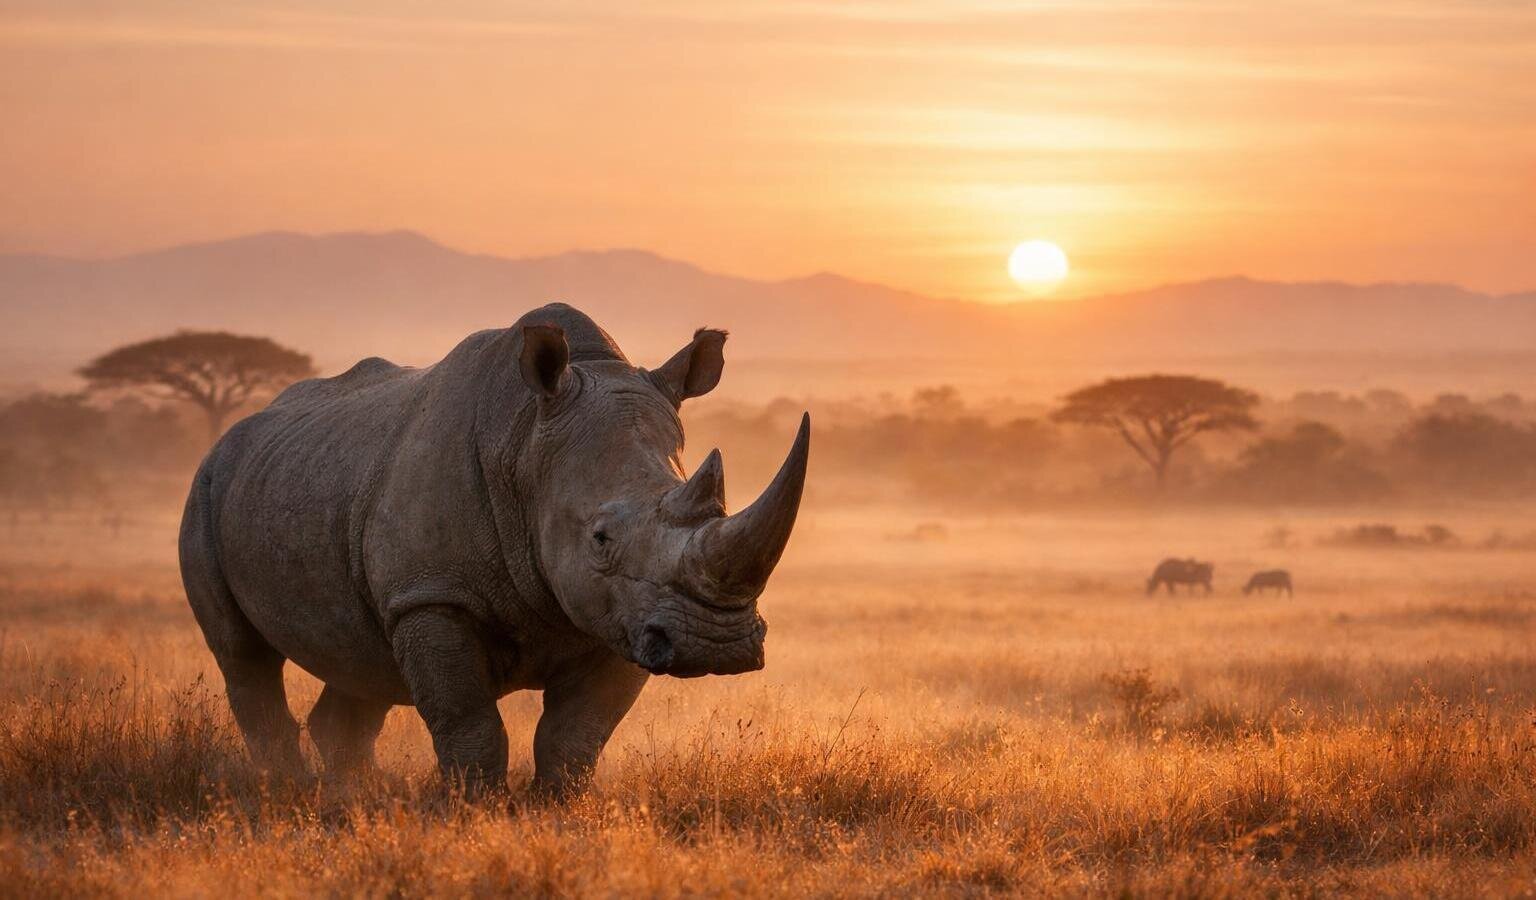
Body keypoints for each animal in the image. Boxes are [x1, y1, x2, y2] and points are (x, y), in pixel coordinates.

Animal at [178, 303, 809, 796]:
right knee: (243, 654)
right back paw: (290, 789)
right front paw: (472, 813)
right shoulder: (432, 595)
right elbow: (469, 725)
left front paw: (559, 811)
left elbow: (575, 736)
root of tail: (237, 430)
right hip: (206, 487)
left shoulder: (627, 613)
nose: (716, 645)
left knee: (360, 664)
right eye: (600, 538)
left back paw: (353, 793)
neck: (527, 446)